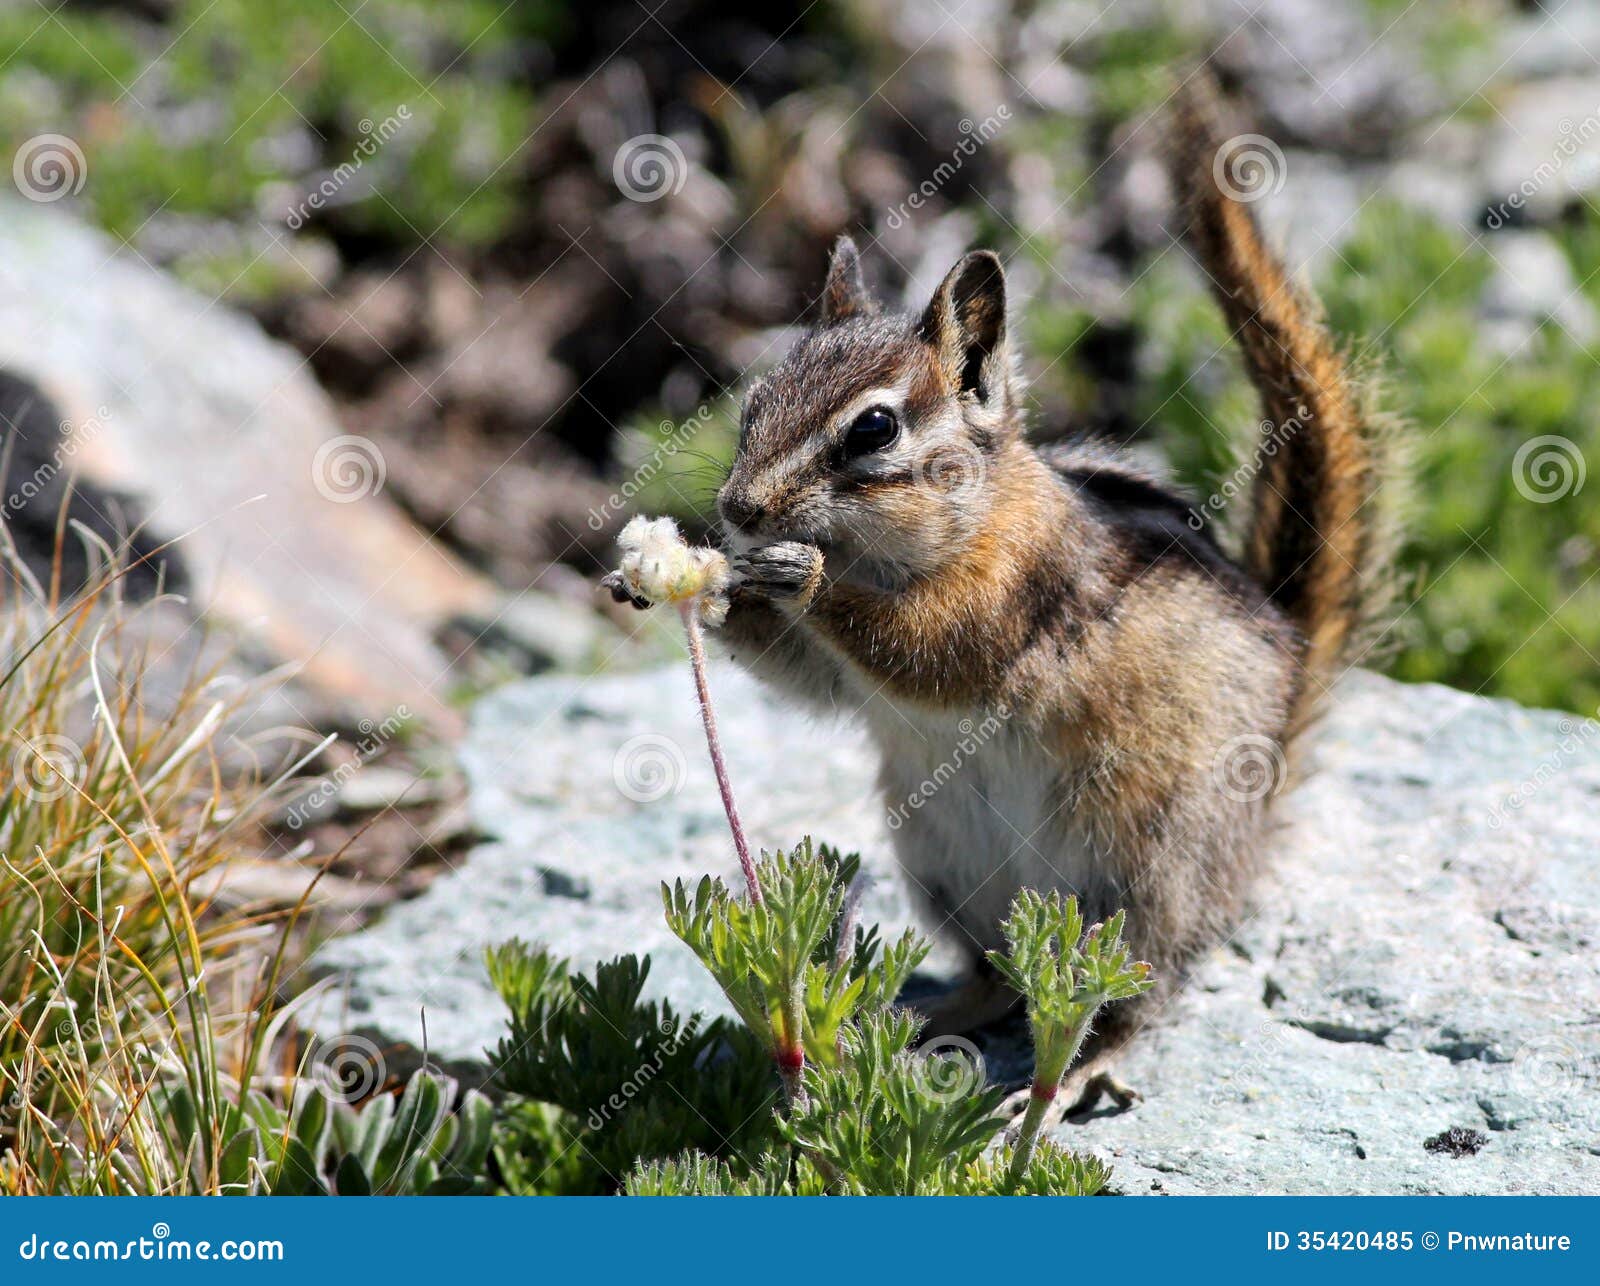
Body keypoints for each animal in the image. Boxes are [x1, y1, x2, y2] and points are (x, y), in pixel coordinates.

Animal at [608, 80, 1399, 1037]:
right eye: (755, 403)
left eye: (874, 429)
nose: (738, 510)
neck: (943, 534)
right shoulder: (843, 682)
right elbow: (814, 679)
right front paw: (679, 584)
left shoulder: (1014, 595)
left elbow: (931, 652)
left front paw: (799, 576)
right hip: (940, 860)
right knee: (998, 972)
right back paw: (922, 1019)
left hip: (1148, 871)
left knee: (1138, 987)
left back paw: (1087, 1053)